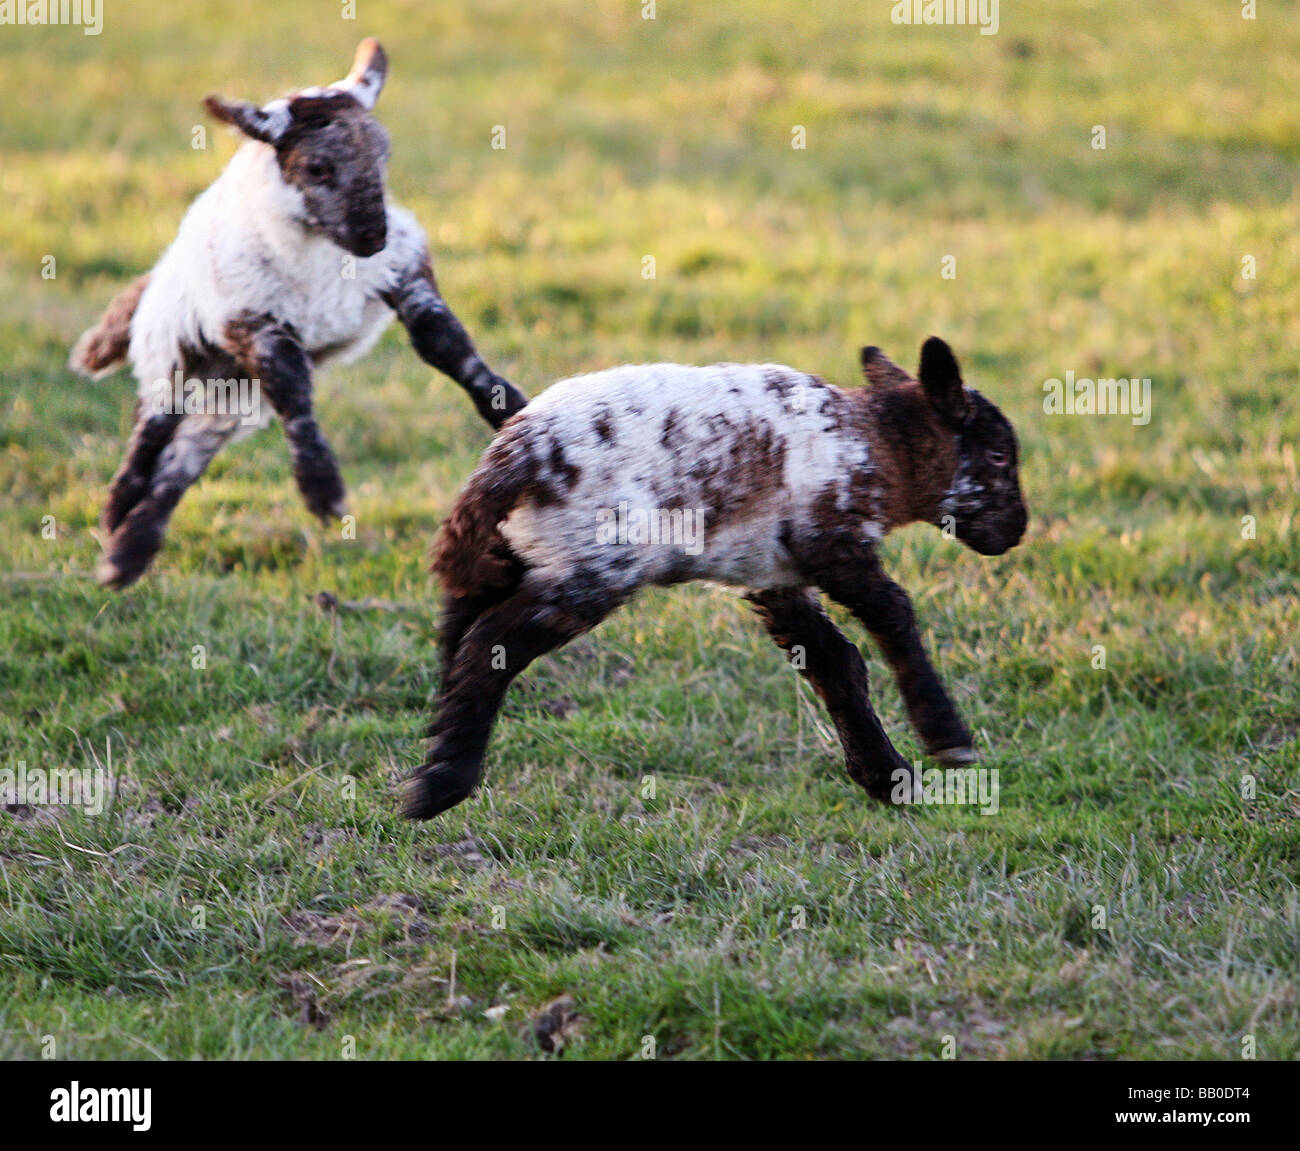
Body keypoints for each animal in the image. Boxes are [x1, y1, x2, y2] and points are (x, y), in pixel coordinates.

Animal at [69, 38, 527, 589]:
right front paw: (322, 490)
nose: (373, 237)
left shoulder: (405, 274)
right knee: (154, 423)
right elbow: (293, 388)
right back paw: (117, 513)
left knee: (181, 461)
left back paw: (128, 551)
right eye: (316, 168)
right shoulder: (252, 319)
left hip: (231, 397)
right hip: (173, 347)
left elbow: (448, 345)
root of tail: (154, 276)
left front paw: (510, 409)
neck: (321, 254)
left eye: (384, 156)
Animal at [402, 336, 1028, 819]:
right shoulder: (833, 539)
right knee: (493, 642)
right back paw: (442, 787)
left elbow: (835, 662)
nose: (1018, 529)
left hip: (507, 549)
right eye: (998, 457)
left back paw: (438, 750)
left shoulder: (776, 574)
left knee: (459, 626)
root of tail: (517, 453)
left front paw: (887, 777)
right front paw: (946, 738)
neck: (876, 442)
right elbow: (892, 615)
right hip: (598, 564)